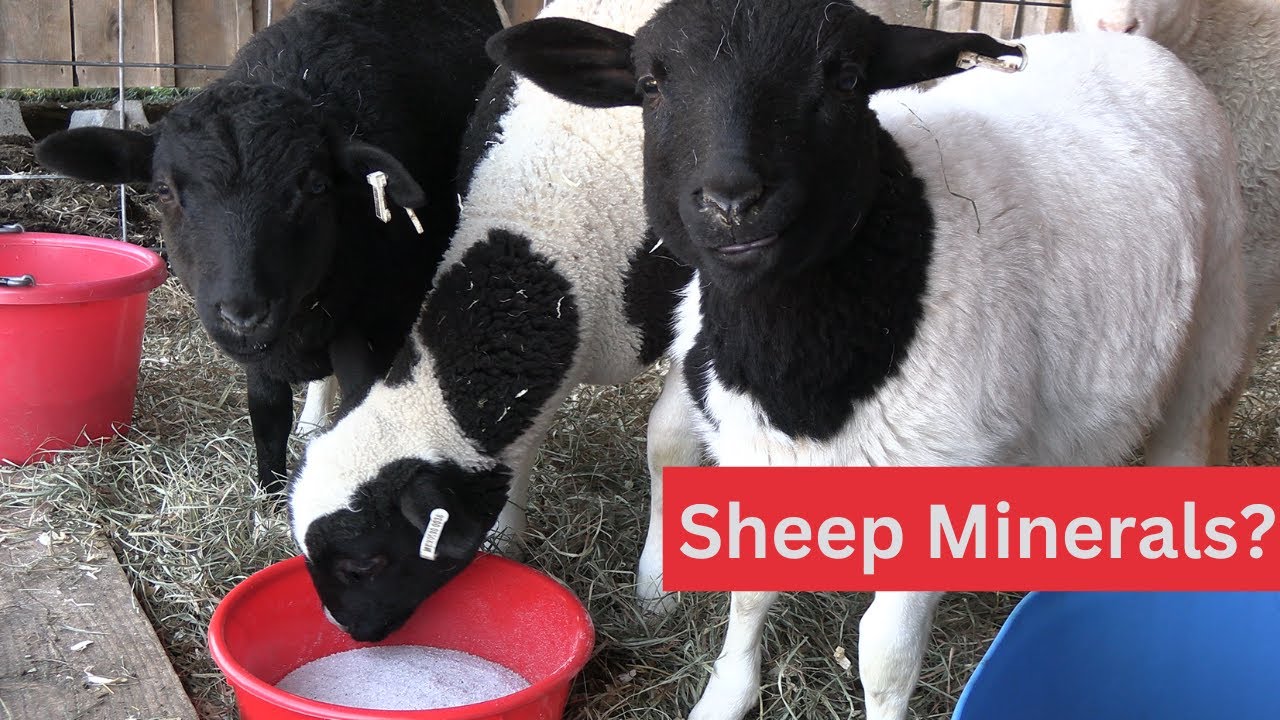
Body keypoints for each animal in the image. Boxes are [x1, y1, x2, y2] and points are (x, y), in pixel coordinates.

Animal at [34, 0, 501, 492]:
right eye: (163, 190)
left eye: (317, 186)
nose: (242, 315)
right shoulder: (263, 357)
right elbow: (268, 418)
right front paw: (270, 492)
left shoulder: (370, 329)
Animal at [287, 0, 694, 644]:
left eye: (364, 564)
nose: (354, 635)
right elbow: (522, 442)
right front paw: (505, 540)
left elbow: (669, 443)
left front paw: (658, 587)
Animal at [491, 2, 1249, 719]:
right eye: (650, 84)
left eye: (847, 77)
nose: (733, 202)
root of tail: (1132, 48)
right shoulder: (757, 454)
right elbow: (749, 592)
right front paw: (724, 695)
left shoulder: (937, 482)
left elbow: (884, 654)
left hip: (1214, 327)